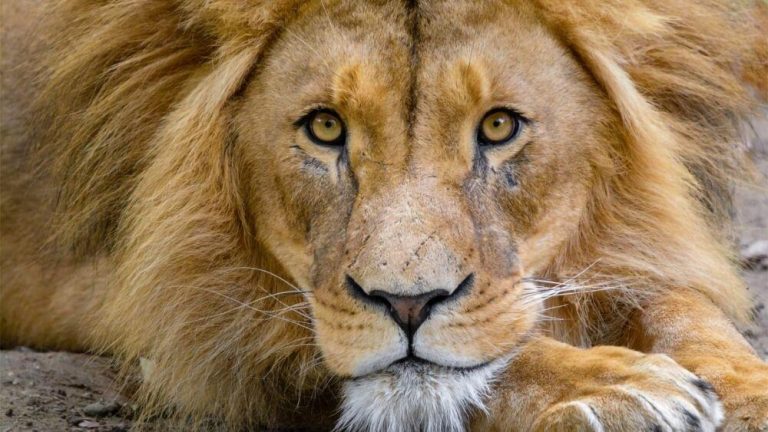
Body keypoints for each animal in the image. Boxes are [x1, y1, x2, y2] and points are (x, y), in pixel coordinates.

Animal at [1, 0, 767, 430]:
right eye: (324, 128)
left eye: (497, 127)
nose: (408, 304)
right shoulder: (188, 318)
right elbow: (486, 365)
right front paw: (618, 386)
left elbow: (684, 309)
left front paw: (746, 392)